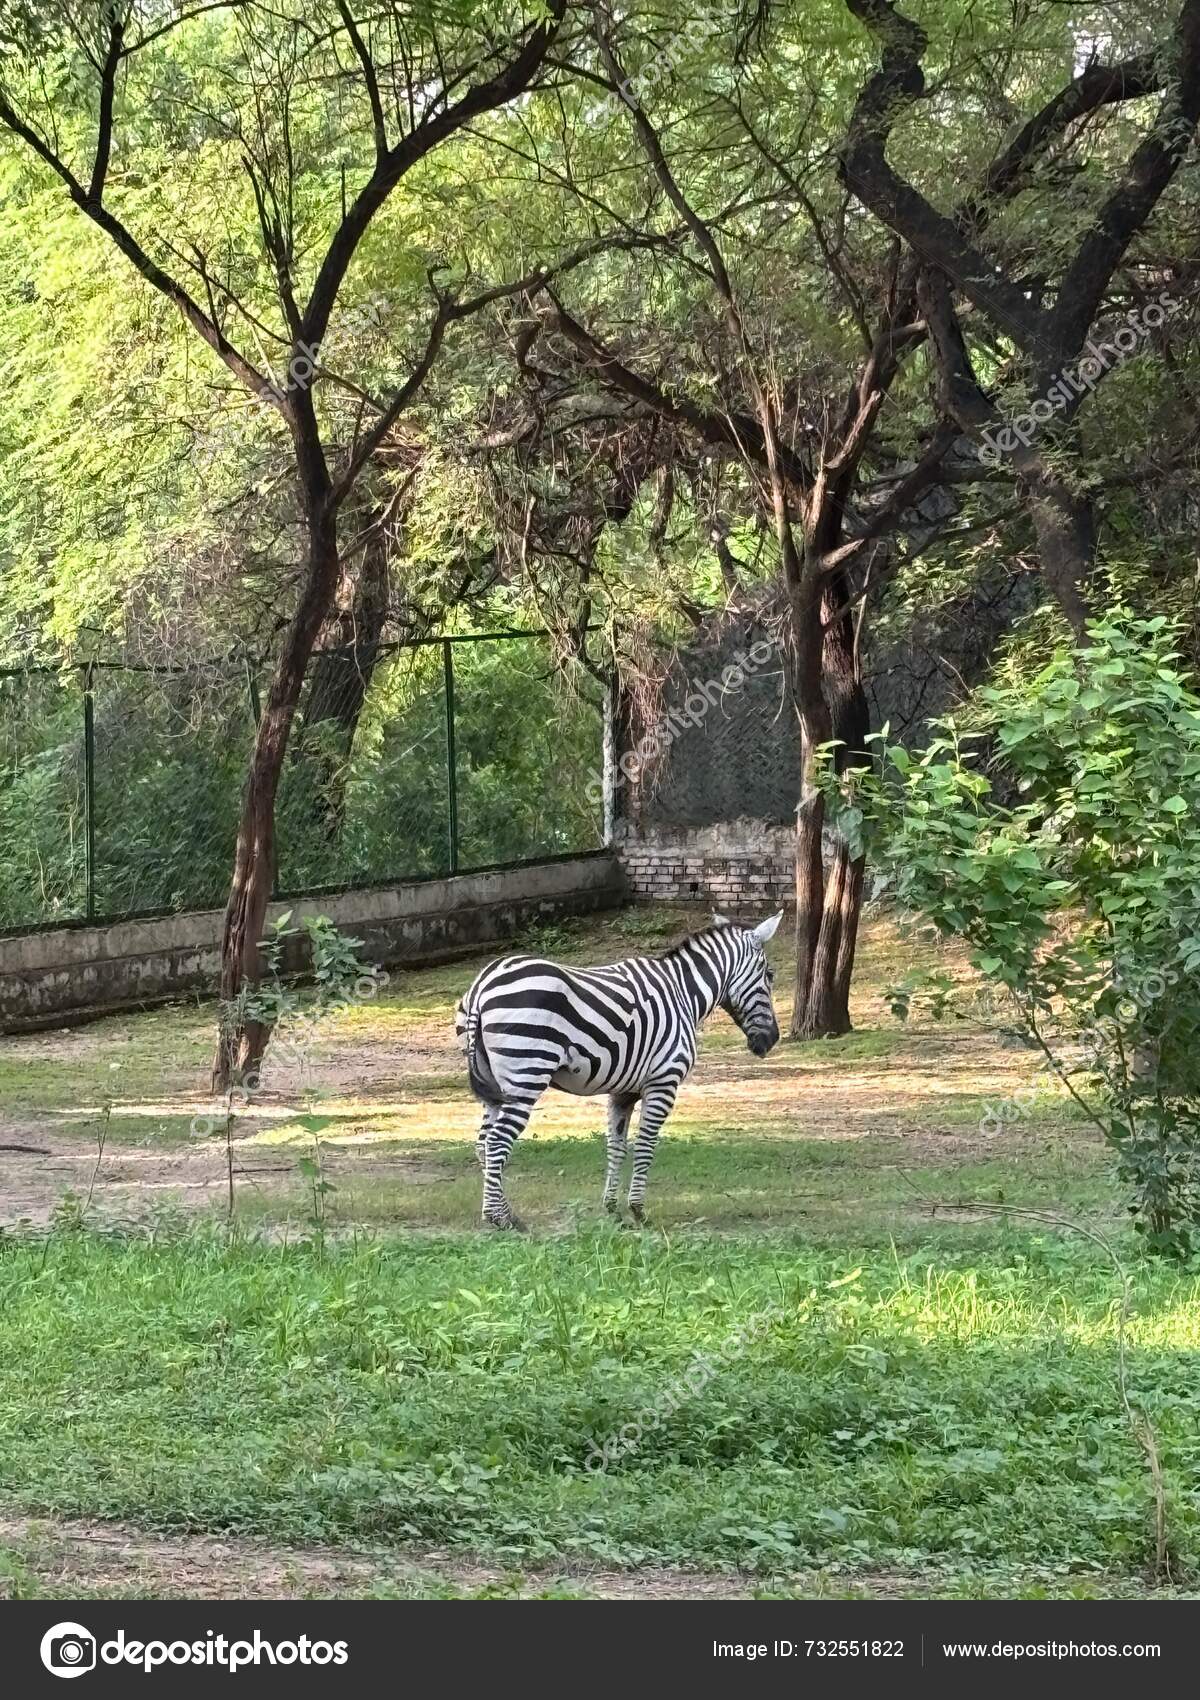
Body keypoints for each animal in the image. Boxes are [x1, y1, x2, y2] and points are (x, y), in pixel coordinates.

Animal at [455, 912, 782, 1229]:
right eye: (769, 975)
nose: (771, 1040)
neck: (683, 994)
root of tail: (483, 983)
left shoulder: (623, 1091)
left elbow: (616, 1146)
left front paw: (611, 1209)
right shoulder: (664, 1081)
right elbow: (645, 1145)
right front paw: (637, 1210)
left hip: (494, 1084)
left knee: (483, 1143)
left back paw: (502, 1212)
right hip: (527, 1074)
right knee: (497, 1141)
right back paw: (499, 1218)